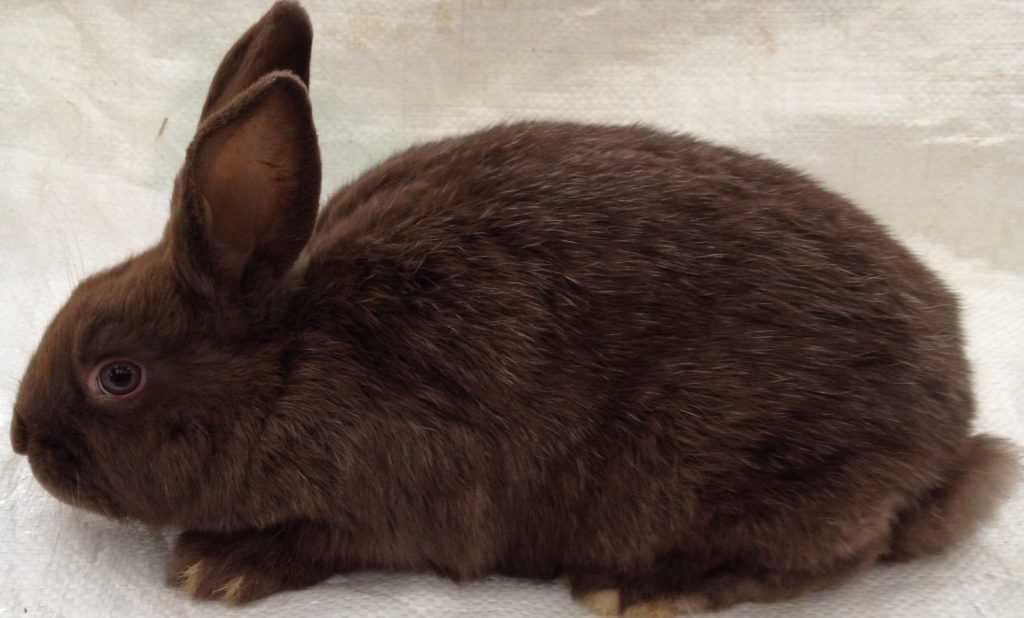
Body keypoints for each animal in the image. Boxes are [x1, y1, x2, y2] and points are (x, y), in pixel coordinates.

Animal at [10, 1, 1019, 615]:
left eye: (117, 376)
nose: (22, 440)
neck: (295, 364)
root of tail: (953, 439)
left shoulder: (398, 493)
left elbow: (328, 537)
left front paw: (215, 565)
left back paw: (647, 587)